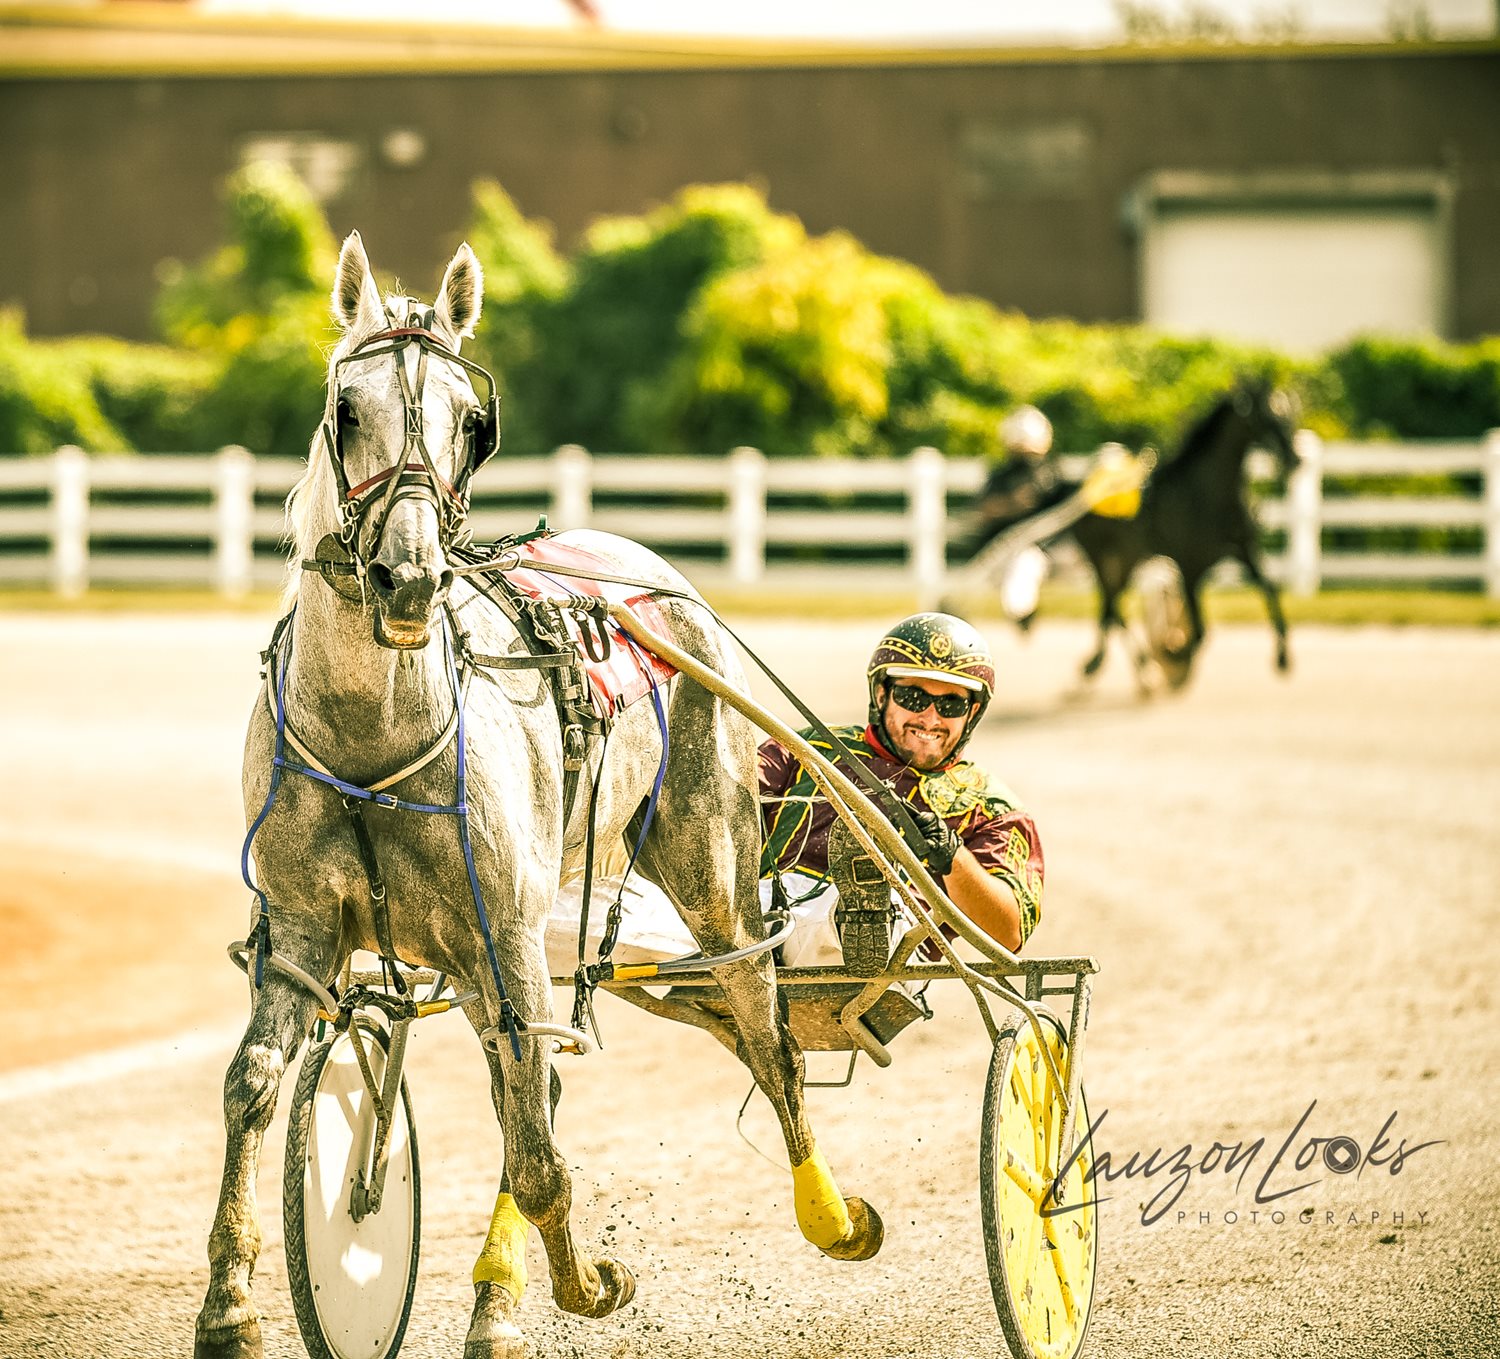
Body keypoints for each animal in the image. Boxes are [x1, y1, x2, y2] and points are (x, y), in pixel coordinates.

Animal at [194, 232, 882, 1359]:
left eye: (470, 424)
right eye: (347, 408)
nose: (409, 579)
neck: (372, 737)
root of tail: (646, 567)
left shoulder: (505, 930)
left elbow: (539, 1145)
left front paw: (584, 1281)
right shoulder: (300, 929)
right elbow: (253, 1083)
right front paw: (231, 1302)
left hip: (709, 867)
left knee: (759, 1030)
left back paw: (824, 1213)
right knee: (530, 1083)